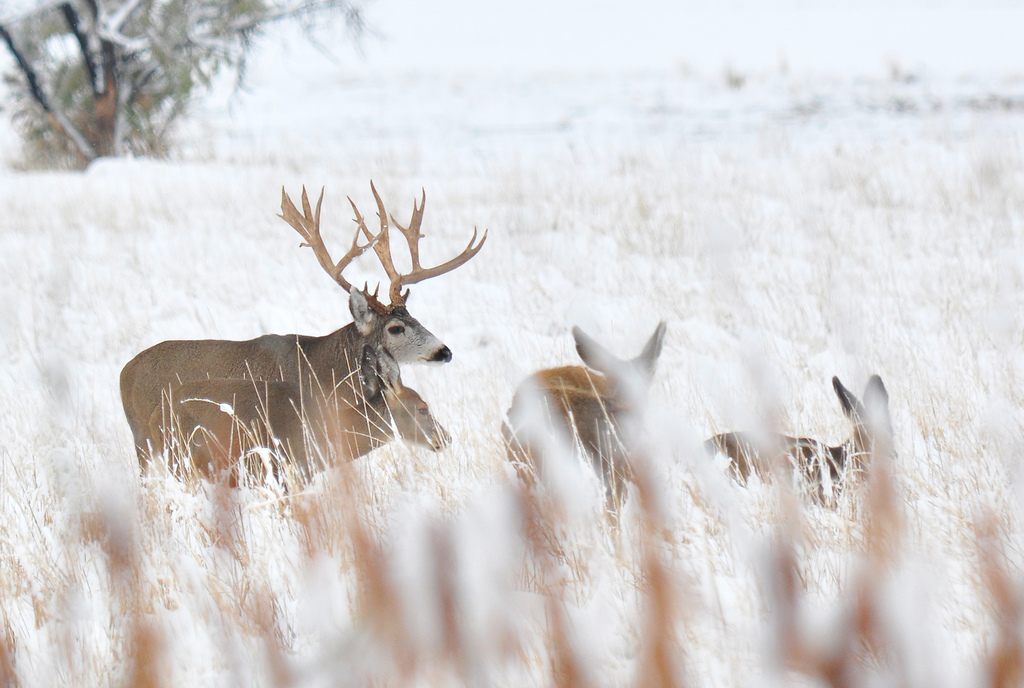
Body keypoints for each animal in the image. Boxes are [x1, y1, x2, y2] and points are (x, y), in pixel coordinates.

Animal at [121, 182, 484, 467]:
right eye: (396, 328)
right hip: (146, 446)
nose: (445, 351)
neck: (327, 371)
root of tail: (125, 372)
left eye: (414, 317)